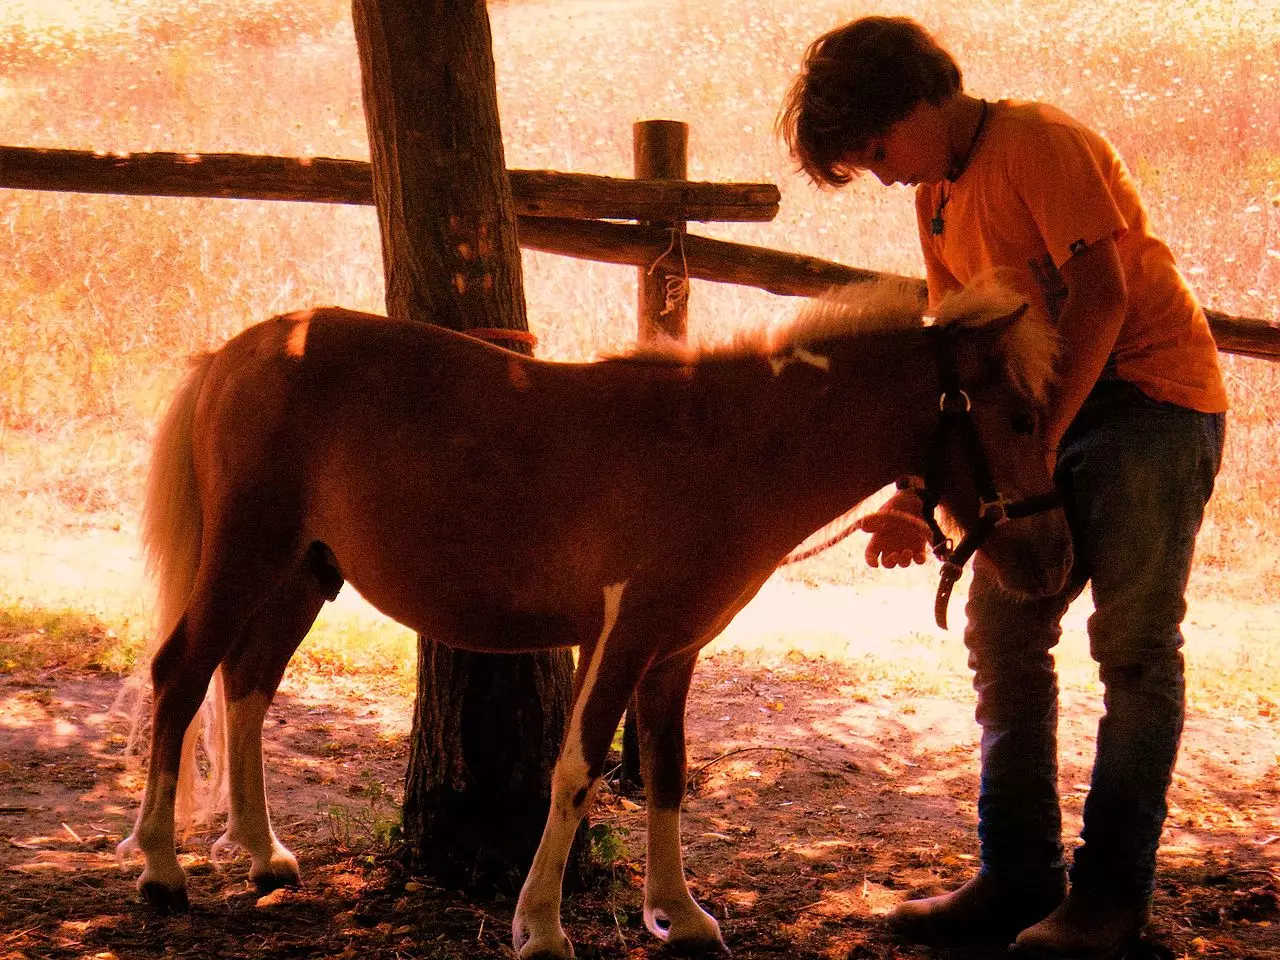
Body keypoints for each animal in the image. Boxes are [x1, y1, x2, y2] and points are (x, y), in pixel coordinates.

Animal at [117, 280, 1070, 960]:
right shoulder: (622, 636)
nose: (1056, 563)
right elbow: (577, 772)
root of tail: (238, 350)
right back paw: (161, 868)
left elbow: (669, 774)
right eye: (1022, 417)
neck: (723, 444)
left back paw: (261, 853)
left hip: (303, 577)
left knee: (247, 684)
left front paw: (680, 916)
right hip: (246, 558)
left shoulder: (673, 652)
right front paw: (539, 928)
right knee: (182, 675)